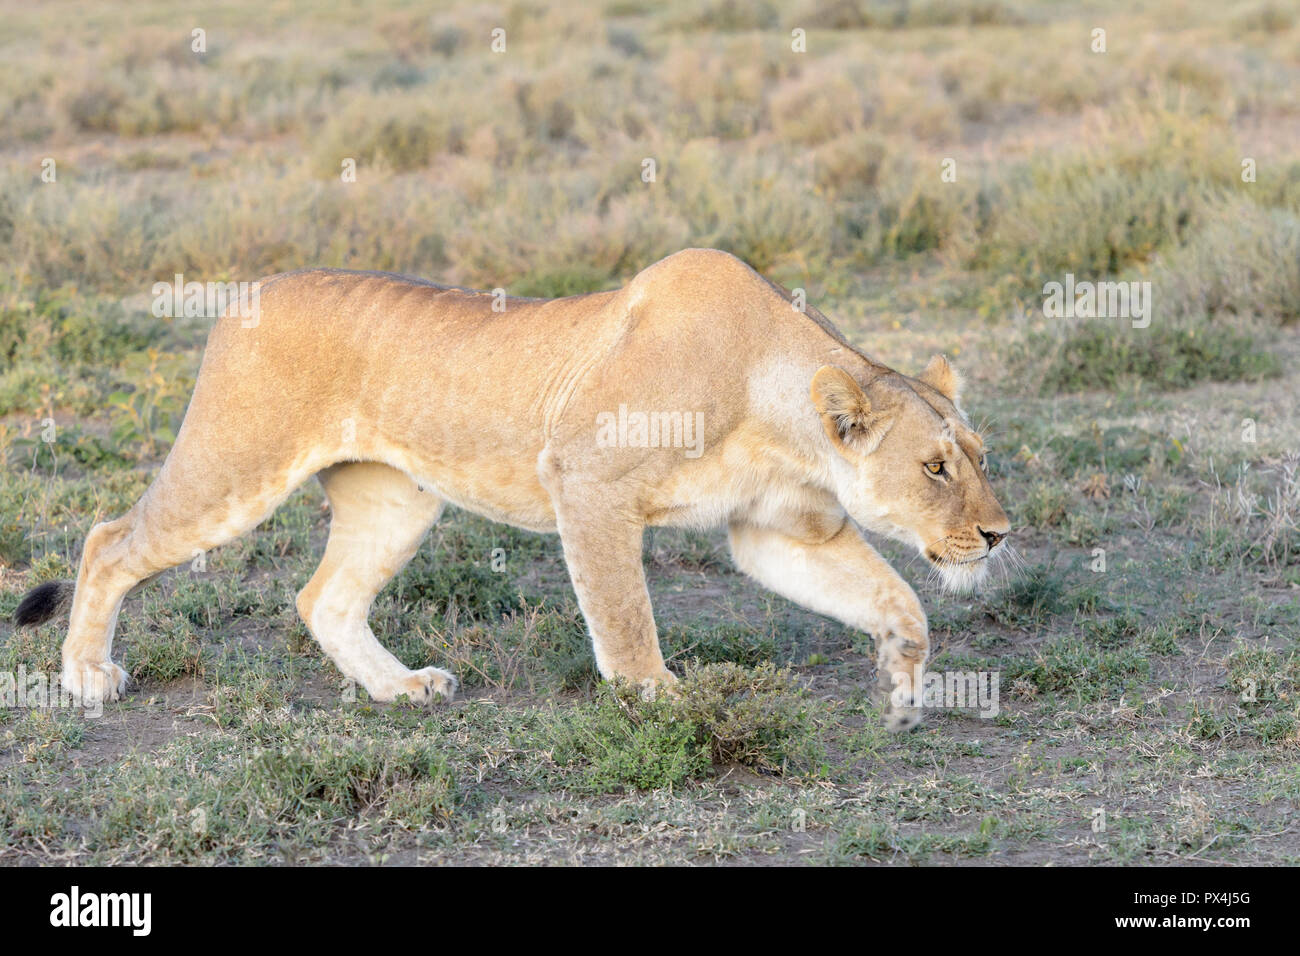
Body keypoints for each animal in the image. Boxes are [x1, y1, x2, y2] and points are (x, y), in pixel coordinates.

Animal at [13, 248, 1010, 730]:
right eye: (934, 467)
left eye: (979, 453)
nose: (999, 535)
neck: (779, 403)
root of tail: (243, 296)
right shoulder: (587, 479)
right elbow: (625, 617)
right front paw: (664, 702)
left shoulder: (779, 531)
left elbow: (897, 601)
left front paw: (903, 679)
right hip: (233, 467)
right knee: (108, 541)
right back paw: (87, 677)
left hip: (397, 499)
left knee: (323, 597)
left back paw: (399, 690)